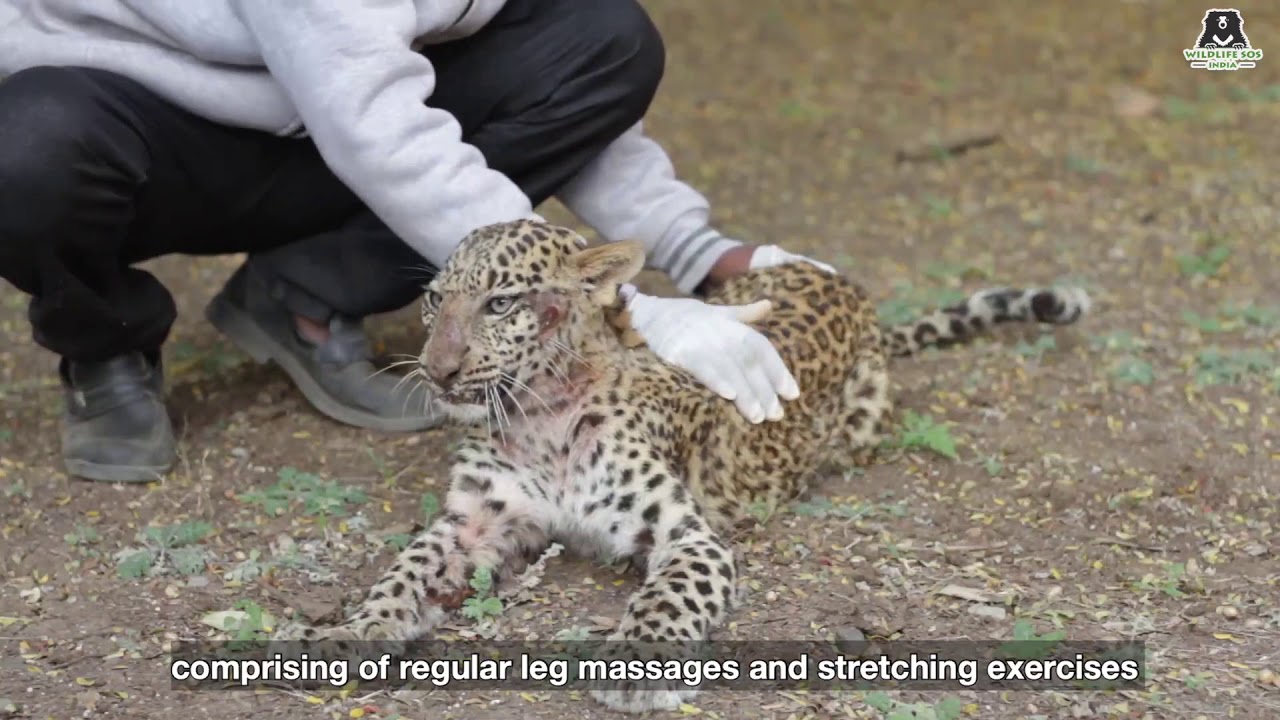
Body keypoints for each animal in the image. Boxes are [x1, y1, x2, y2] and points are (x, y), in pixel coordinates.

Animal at [272, 219, 1091, 712]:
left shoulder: (686, 534)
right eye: (435, 300)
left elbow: (668, 597)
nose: (436, 373)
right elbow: (402, 572)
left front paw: (635, 662)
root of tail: (843, 286)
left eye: (501, 304)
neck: (541, 417)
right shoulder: (475, 520)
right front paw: (355, 629)